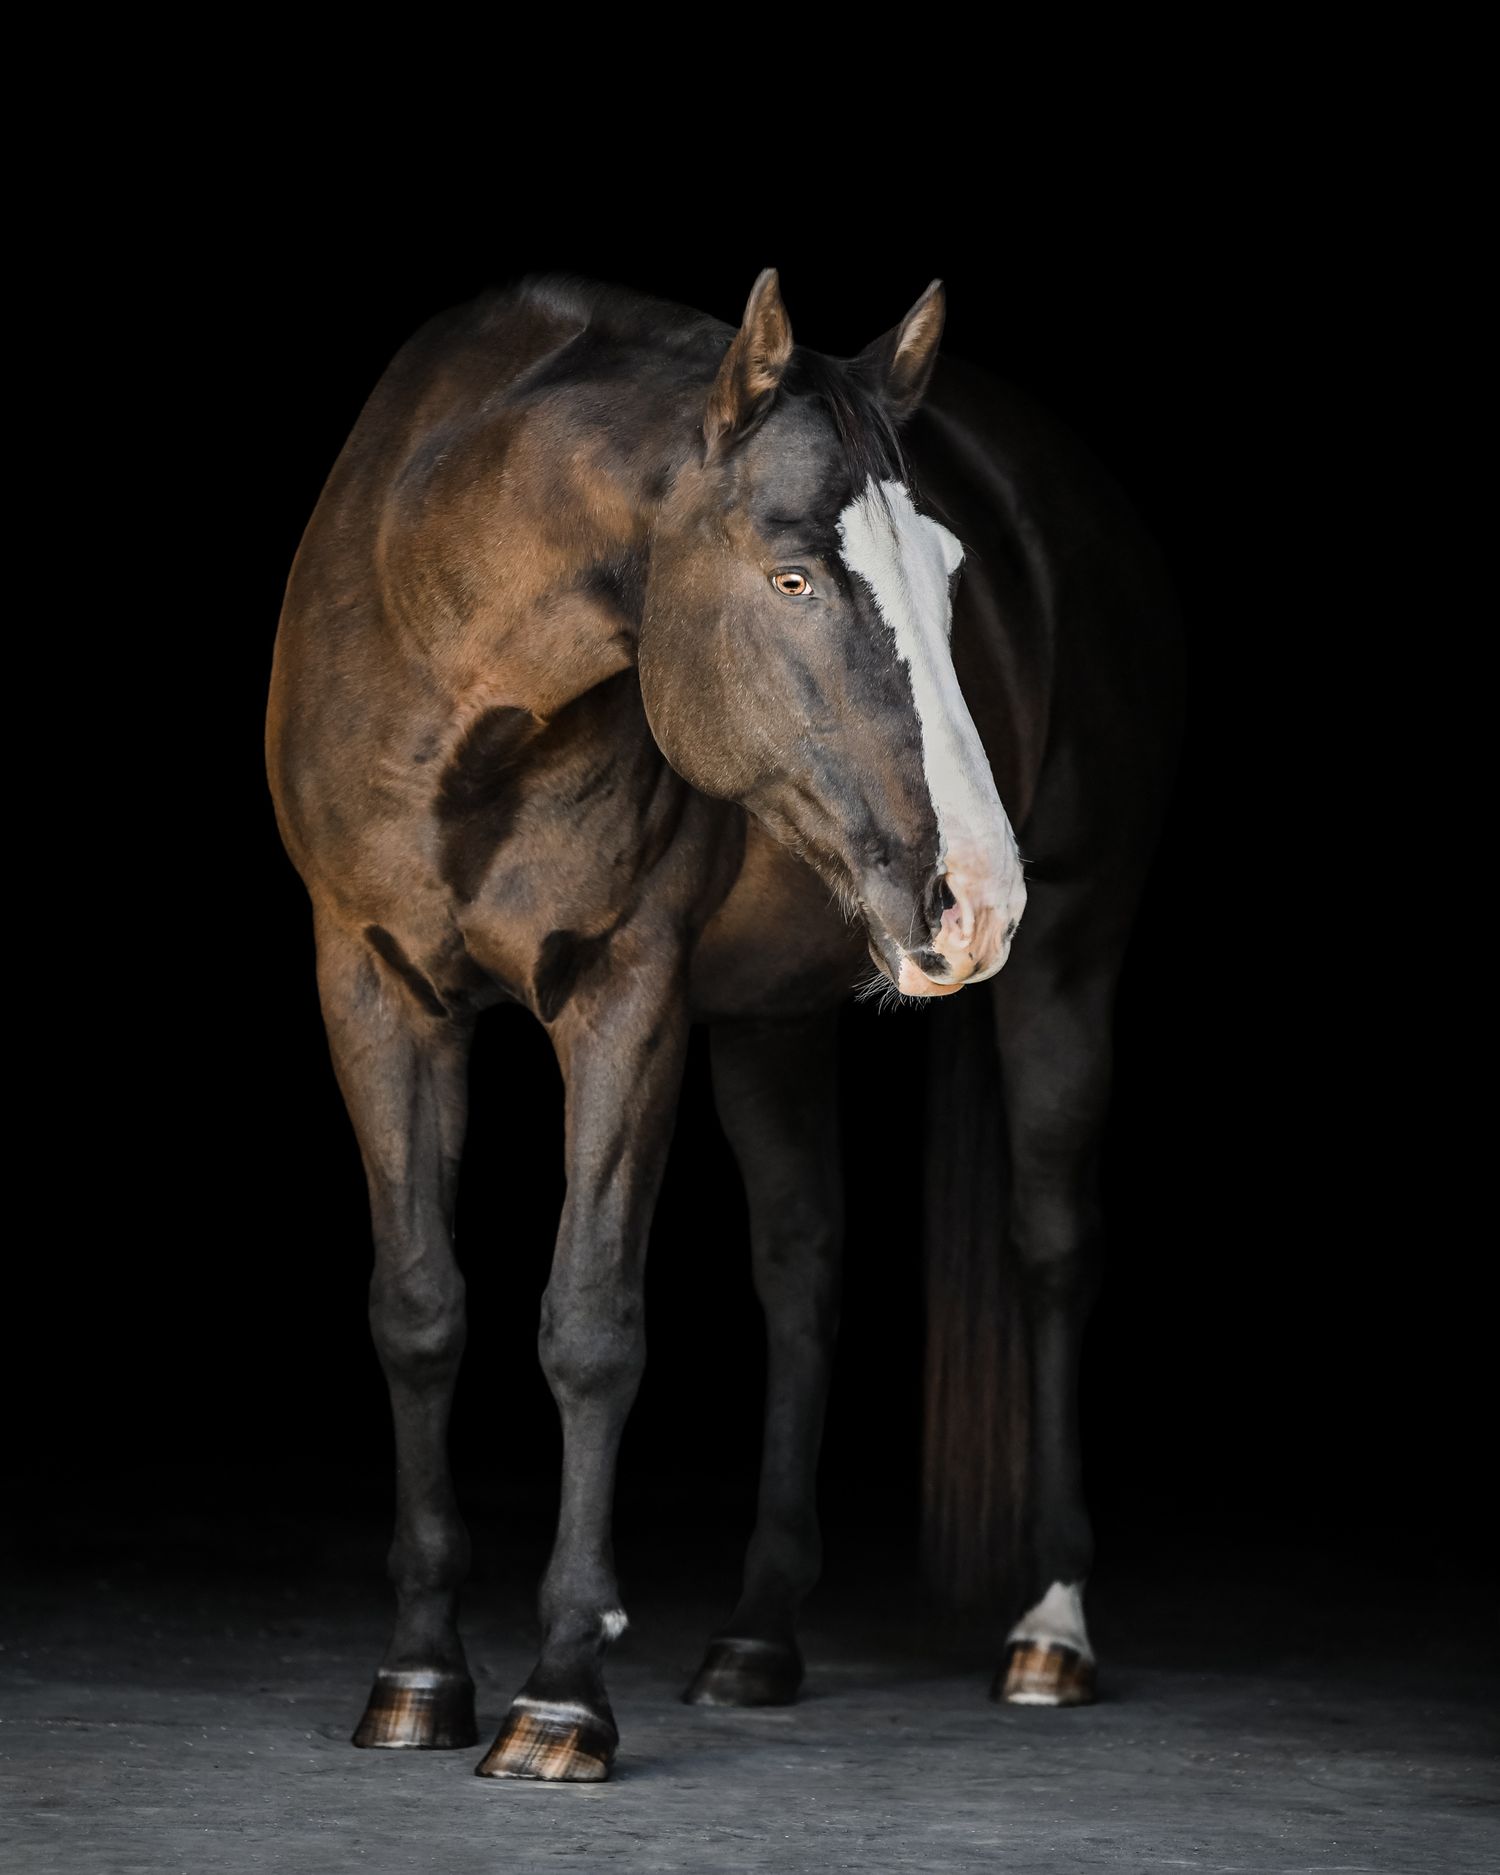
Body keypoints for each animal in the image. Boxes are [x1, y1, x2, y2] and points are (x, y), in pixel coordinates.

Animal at [265, 267, 1182, 1781]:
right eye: (794, 576)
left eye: (951, 576)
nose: (977, 895)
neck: (444, 650)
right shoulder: (373, 989)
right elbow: (417, 1310)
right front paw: (416, 1674)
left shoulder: (625, 998)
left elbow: (588, 1326)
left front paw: (560, 1695)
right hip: (768, 1020)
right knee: (804, 1270)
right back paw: (757, 1635)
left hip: (1071, 959)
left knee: (1053, 1249)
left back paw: (1050, 1629)